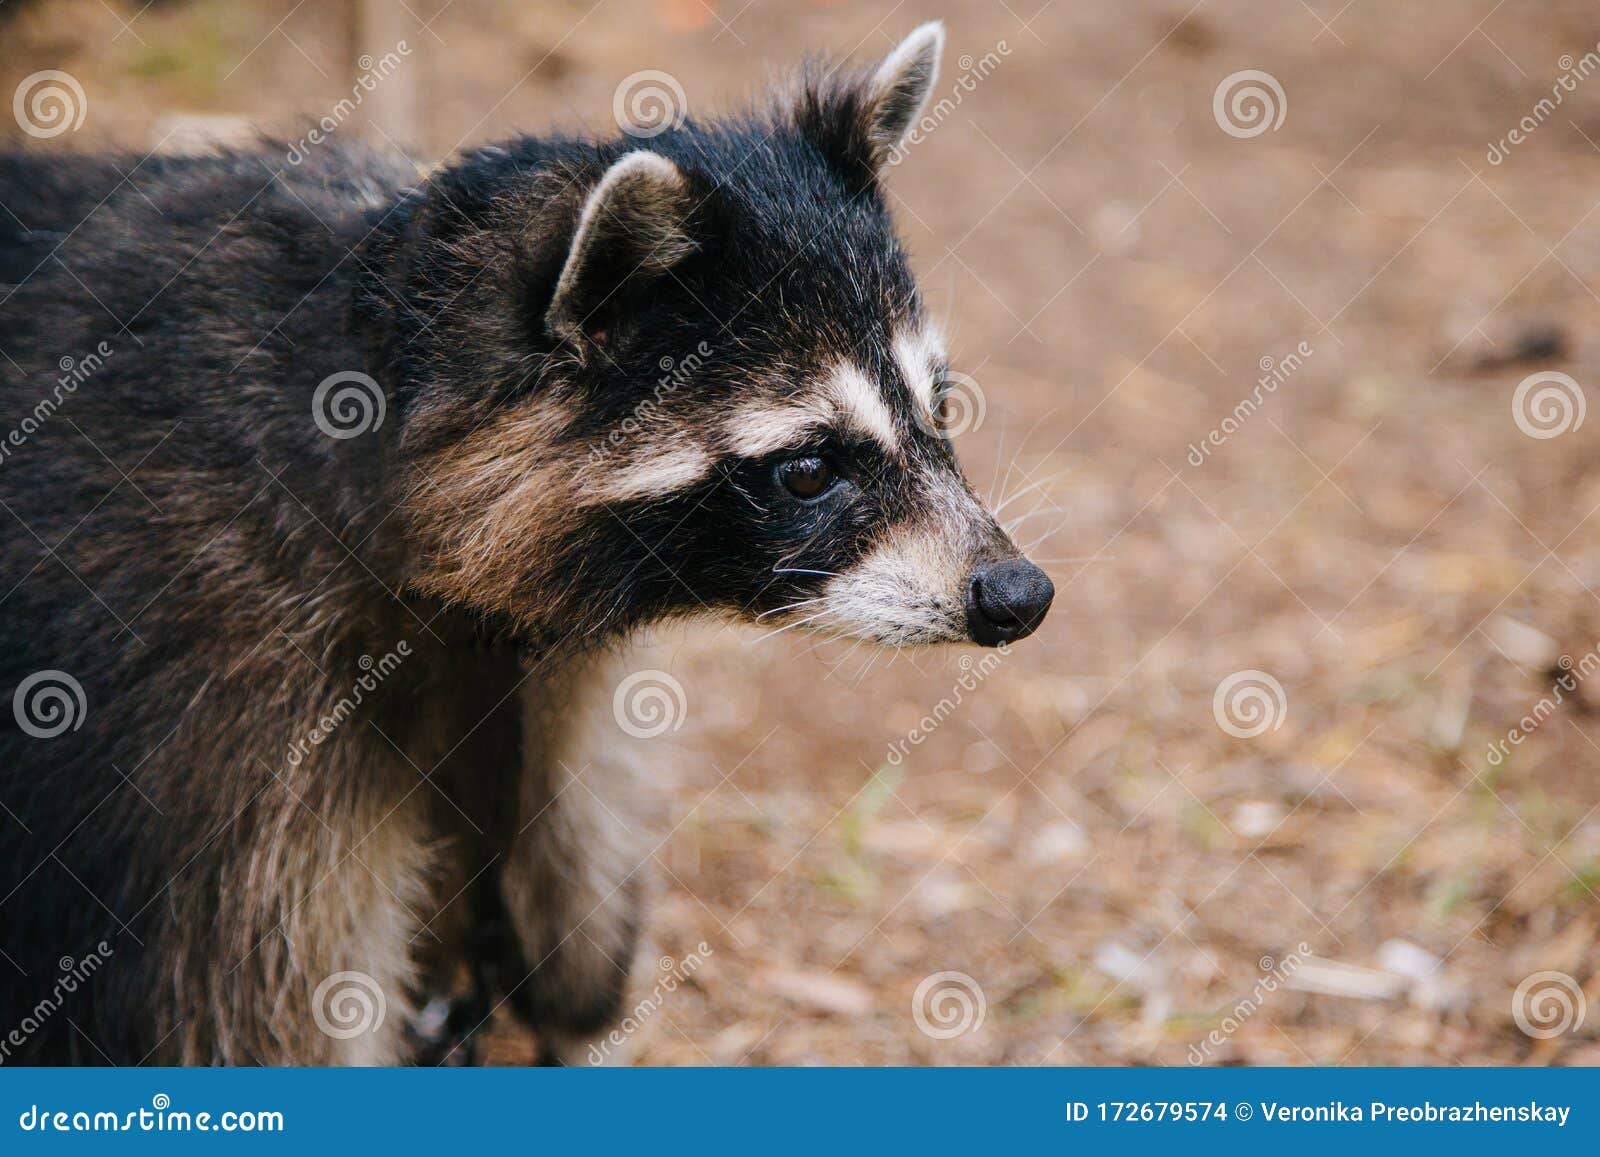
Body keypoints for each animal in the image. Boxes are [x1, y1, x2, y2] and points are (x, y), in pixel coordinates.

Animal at [0, 22, 1051, 1065]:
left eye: (939, 405)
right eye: (807, 469)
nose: (1016, 591)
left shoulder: (538, 694)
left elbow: (569, 947)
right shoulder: (209, 703)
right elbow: (255, 1023)